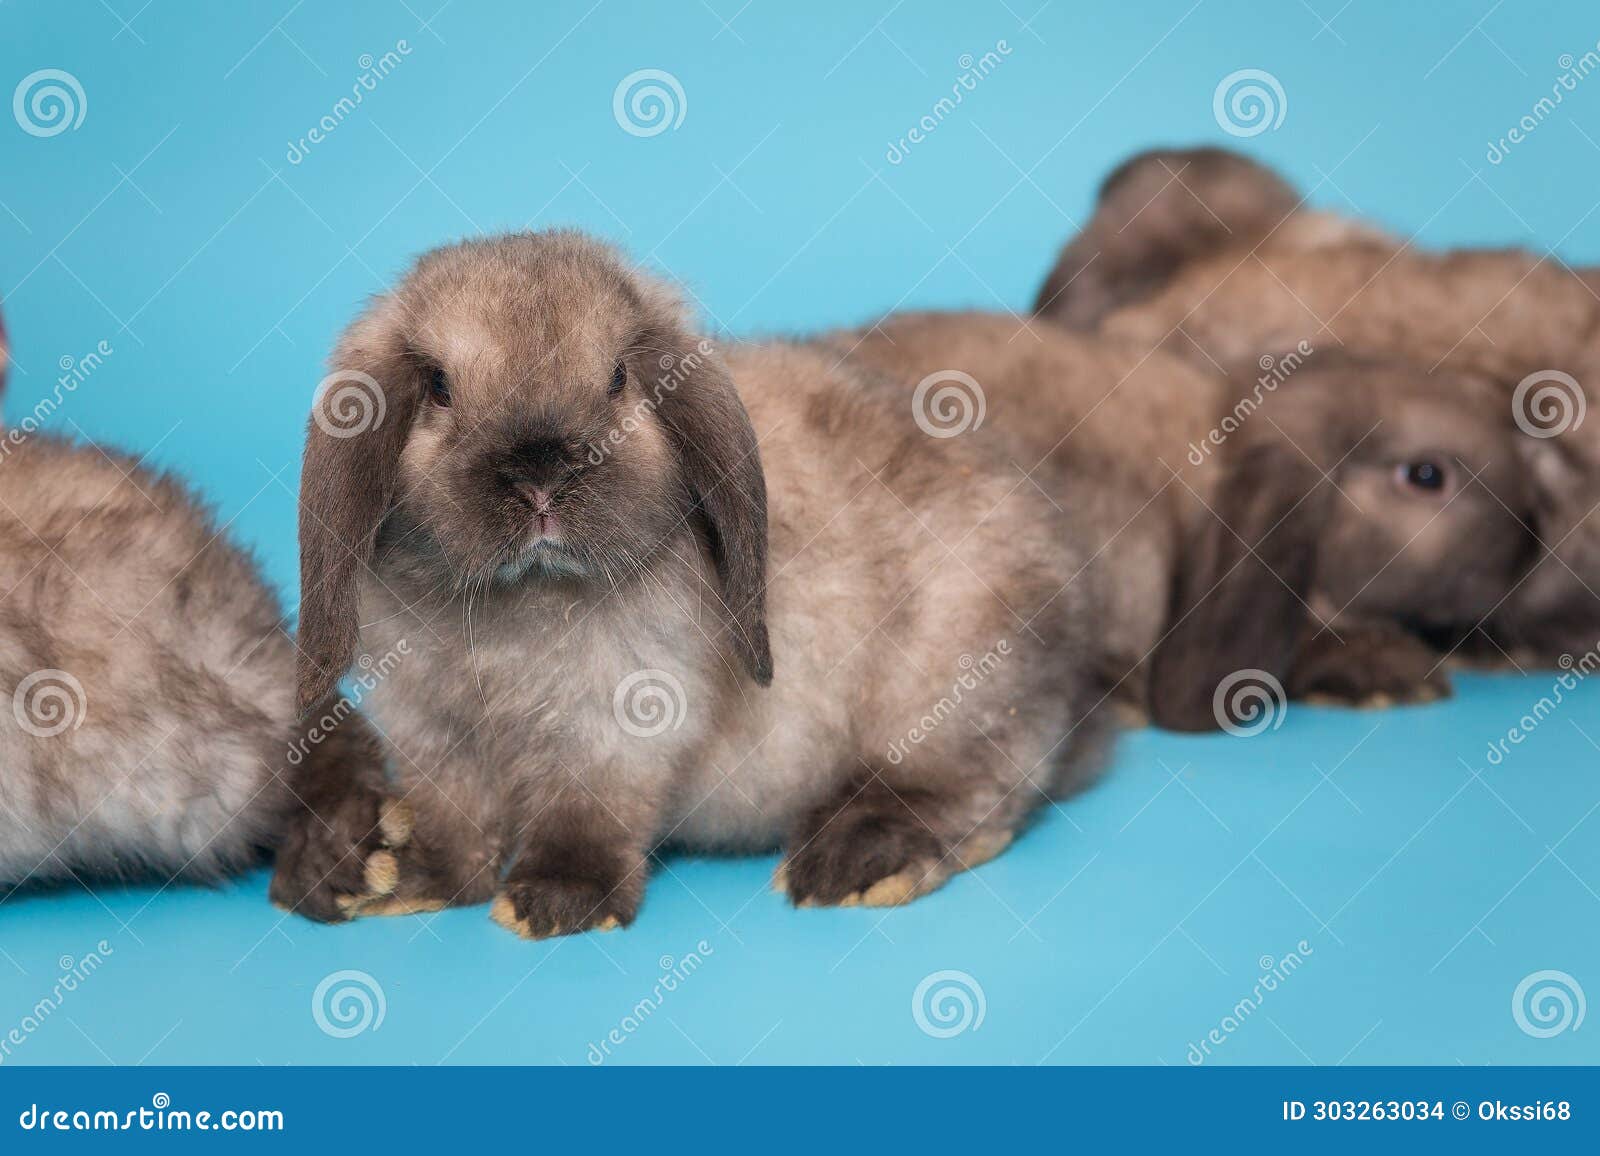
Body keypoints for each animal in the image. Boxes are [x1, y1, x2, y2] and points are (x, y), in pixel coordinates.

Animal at [283, 229, 1109, 936]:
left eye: (618, 378)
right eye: (439, 387)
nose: (541, 473)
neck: (517, 605)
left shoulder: (620, 721)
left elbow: (588, 814)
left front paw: (555, 901)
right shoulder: (429, 732)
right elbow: (455, 824)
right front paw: (401, 878)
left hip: (954, 691)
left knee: (978, 795)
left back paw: (855, 862)